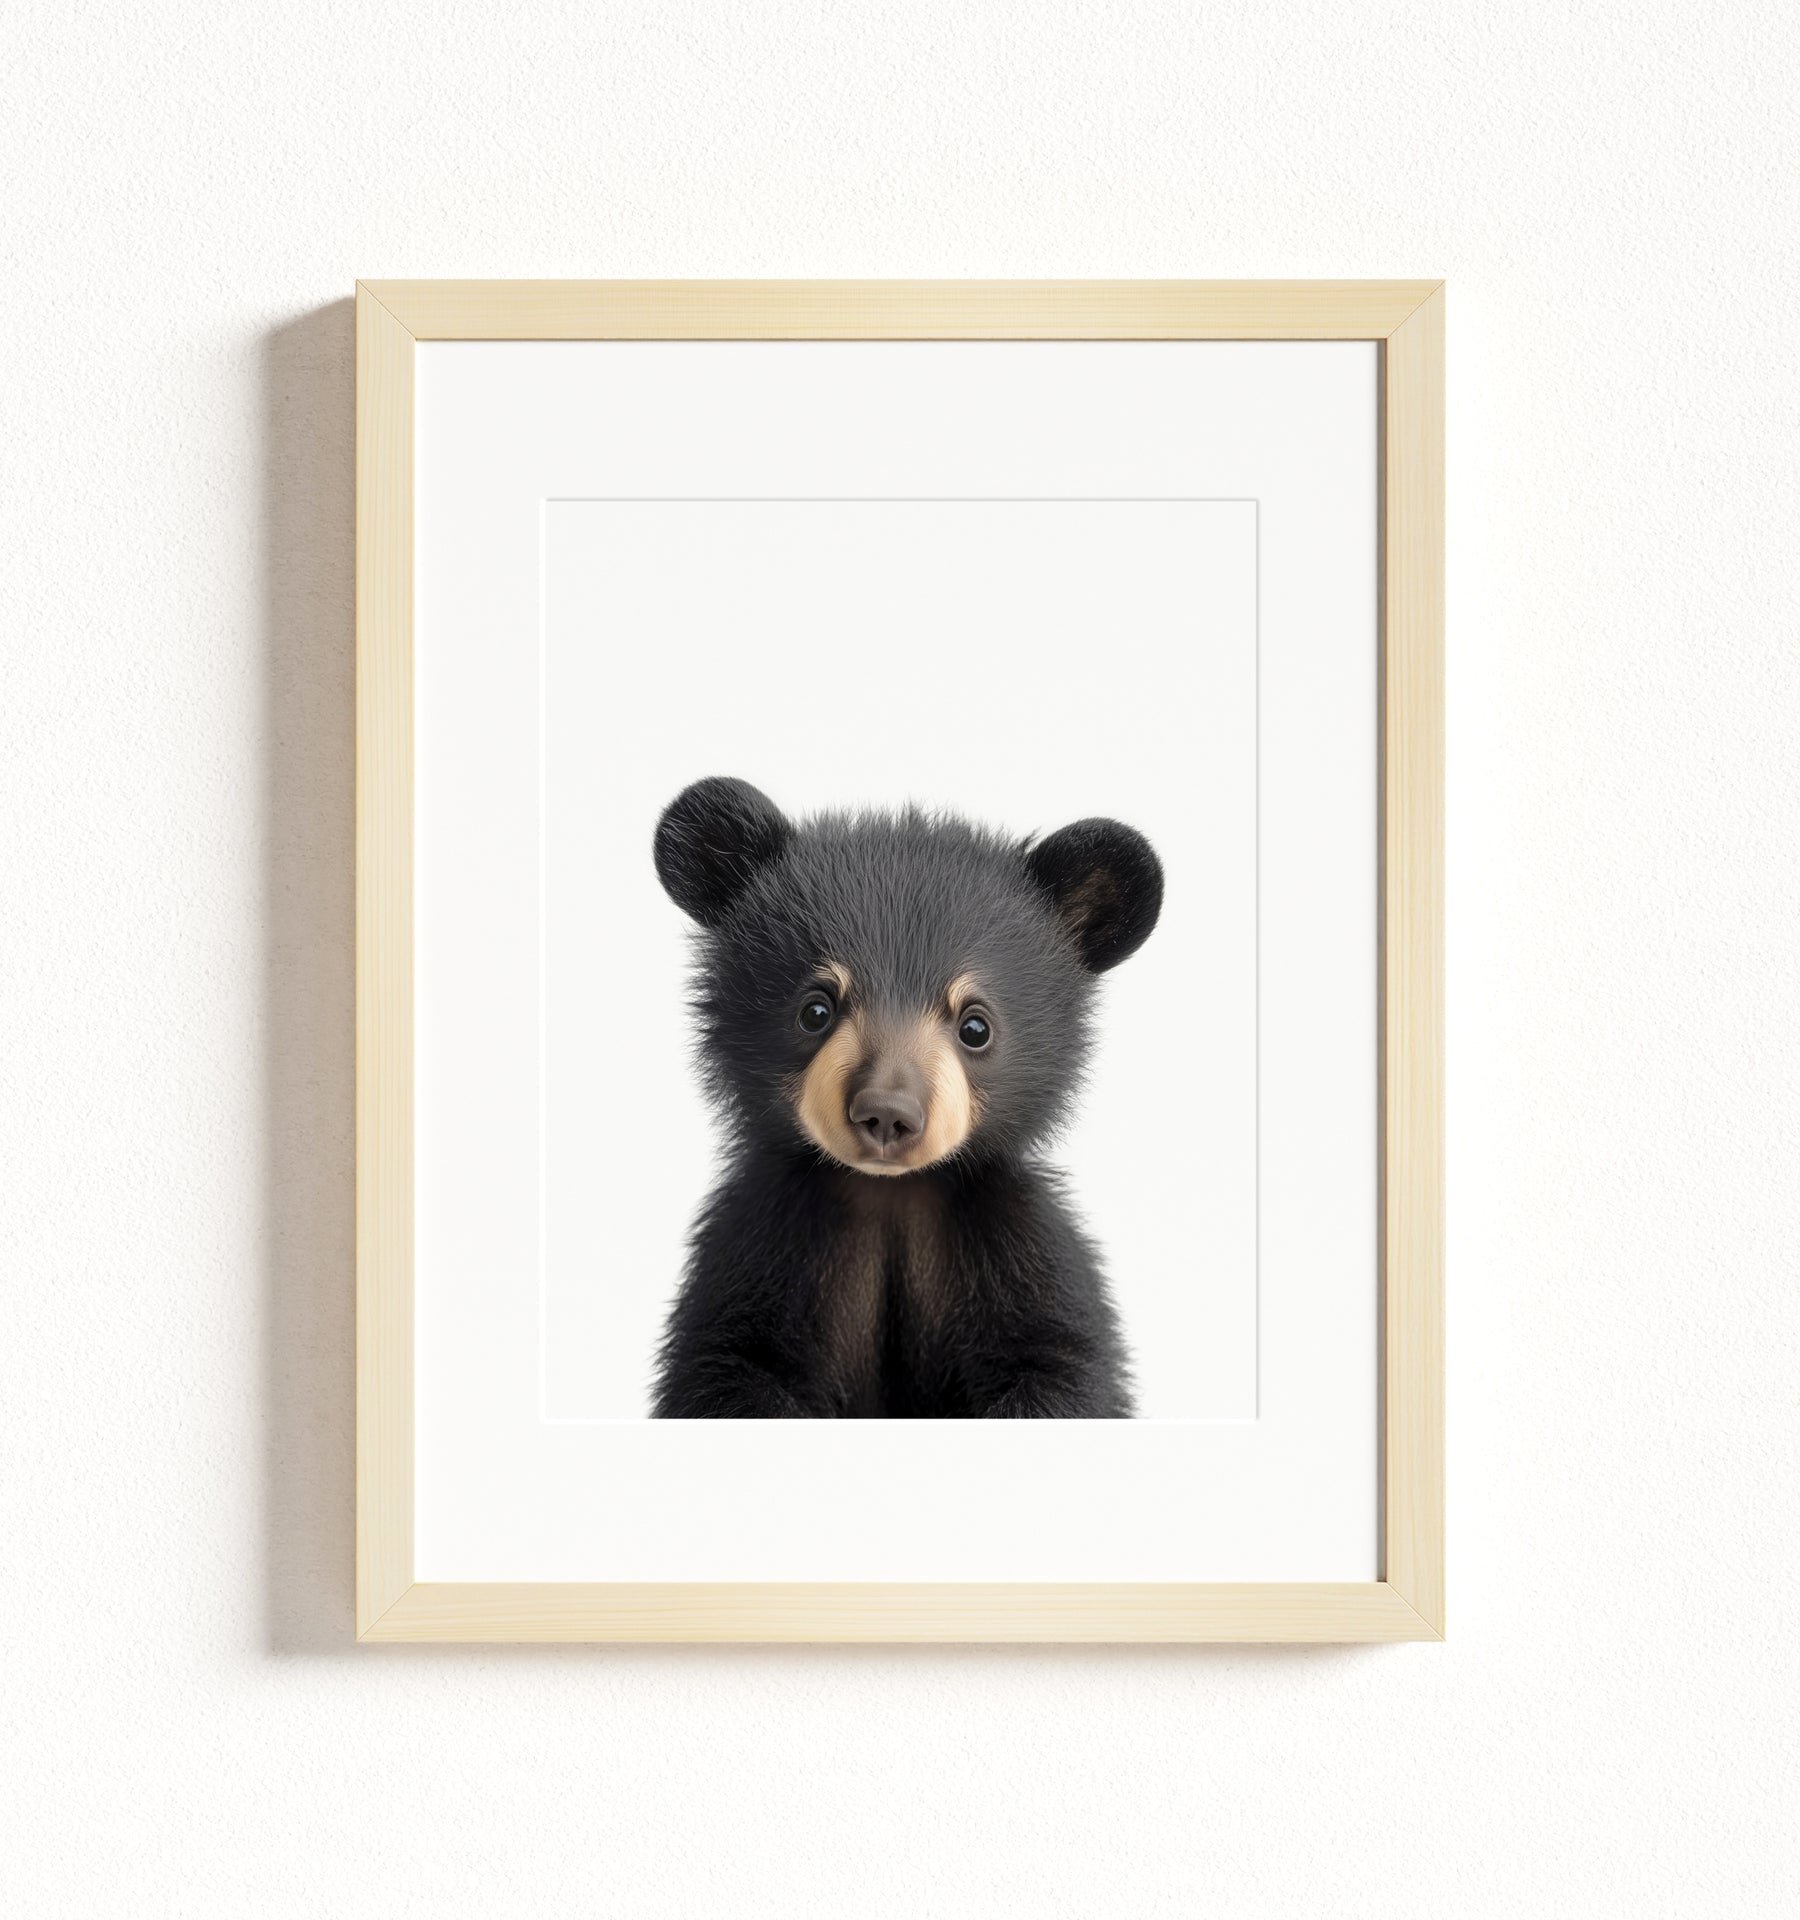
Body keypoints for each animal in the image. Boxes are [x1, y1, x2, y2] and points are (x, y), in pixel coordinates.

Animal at [649, 775, 1163, 1418]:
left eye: (976, 1026)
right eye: (815, 1010)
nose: (888, 1115)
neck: (890, 1195)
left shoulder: (1014, 1243)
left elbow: (1058, 1360)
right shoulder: (760, 1246)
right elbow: (728, 1362)